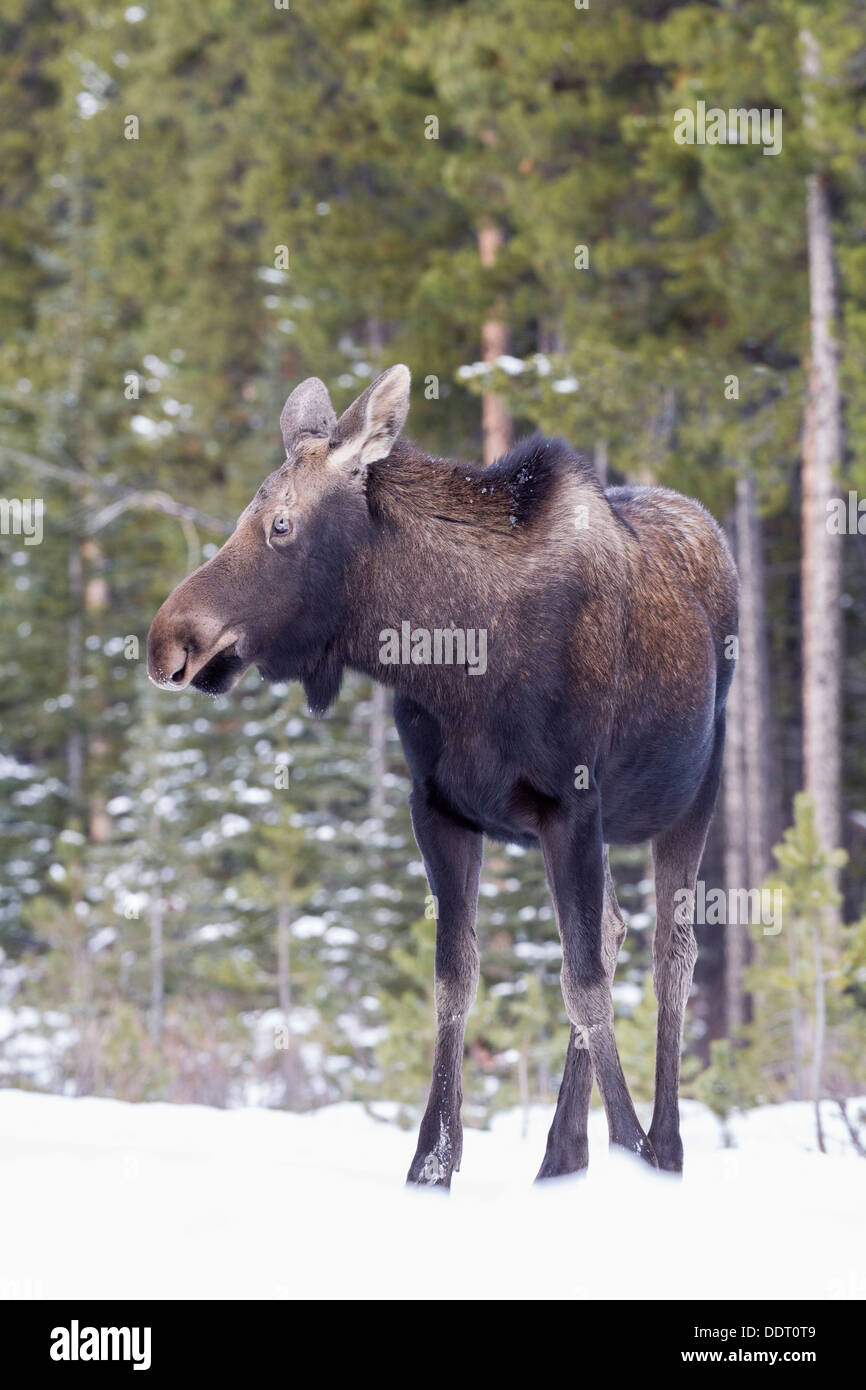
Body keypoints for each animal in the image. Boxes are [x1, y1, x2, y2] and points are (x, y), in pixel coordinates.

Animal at [147, 365, 738, 1184]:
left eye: (280, 526)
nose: (168, 639)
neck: (455, 658)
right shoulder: (439, 809)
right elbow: (455, 981)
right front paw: (432, 1164)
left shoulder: (571, 806)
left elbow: (582, 986)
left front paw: (634, 1150)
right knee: (617, 929)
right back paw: (561, 1158)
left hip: (693, 794)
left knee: (670, 959)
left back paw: (666, 1148)